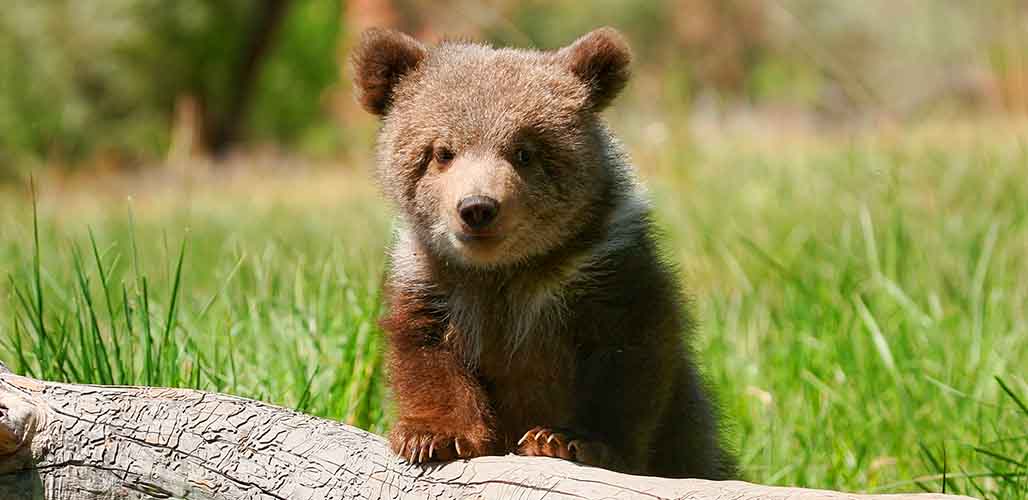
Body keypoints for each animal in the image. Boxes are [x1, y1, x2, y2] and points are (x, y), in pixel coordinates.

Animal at [351, 26, 736, 479]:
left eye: (524, 151)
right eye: (442, 152)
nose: (477, 207)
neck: (506, 271)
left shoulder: (603, 272)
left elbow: (625, 361)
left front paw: (565, 439)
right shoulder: (434, 281)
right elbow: (426, 354)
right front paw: (433, 436)